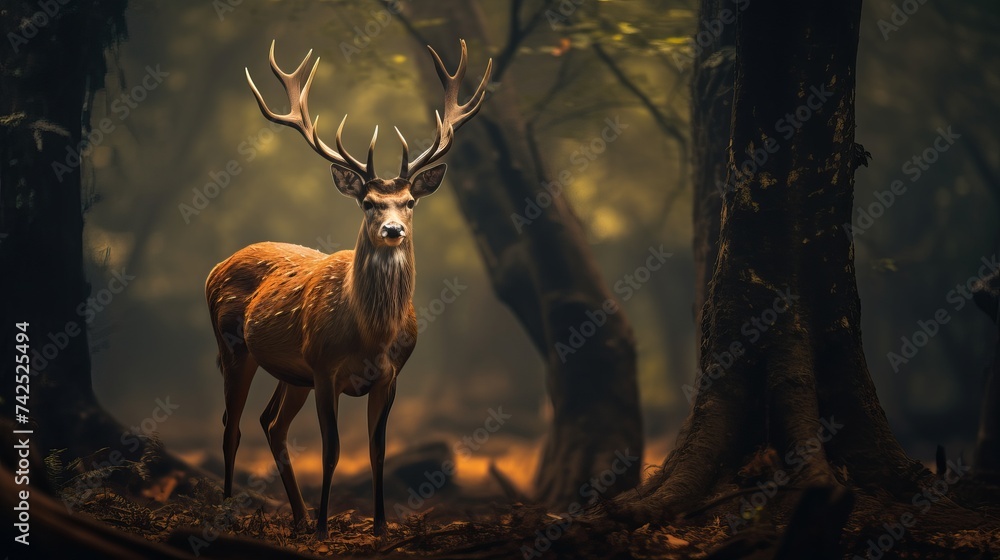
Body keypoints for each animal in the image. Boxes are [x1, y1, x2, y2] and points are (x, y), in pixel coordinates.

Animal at [205, 39, 492, 538]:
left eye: (409, 201)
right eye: (369, 203)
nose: (394, 230)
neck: (371, 335)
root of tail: (212, 270)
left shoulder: (391, 375)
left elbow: (378, 451)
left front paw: (379, 526)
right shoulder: (324, 369)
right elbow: (332, 450)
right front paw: (325, 526)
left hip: (289, 370)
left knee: (271, 424)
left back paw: (298, 518)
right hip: (235, 347)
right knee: (231, 425)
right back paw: (235, 511)